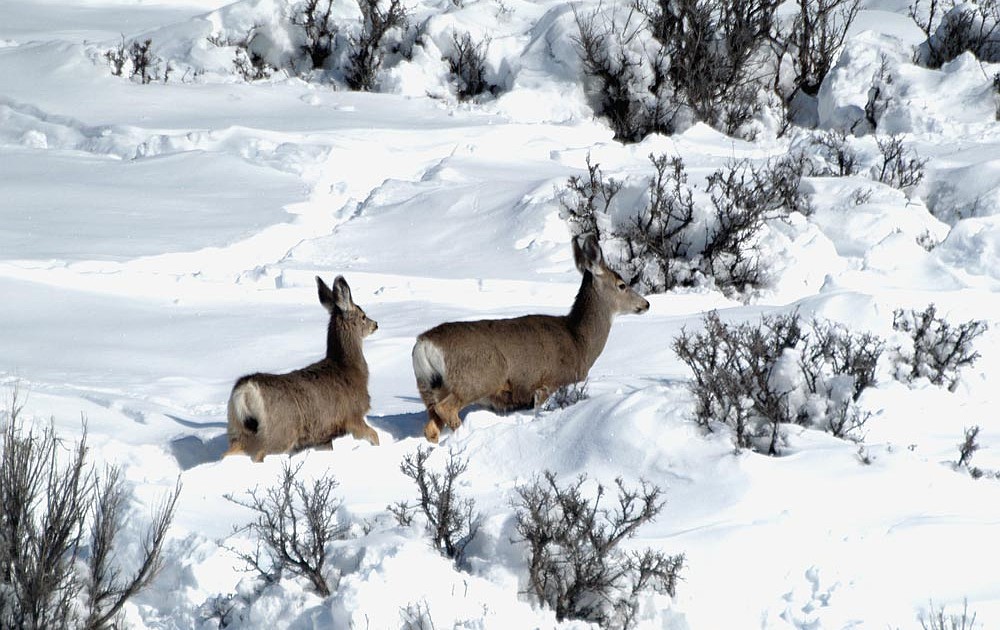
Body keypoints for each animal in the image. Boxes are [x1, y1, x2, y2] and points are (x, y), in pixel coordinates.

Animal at [224, 275, 380, 462]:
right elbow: (374, 435)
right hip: (278, 434)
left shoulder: (323, 435)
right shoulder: (352, 416)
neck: (349, 368)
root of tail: (246, 389)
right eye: (363, 316)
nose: (376, 324)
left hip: (237, 430)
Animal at [411, 234, 650, 443]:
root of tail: (424, 344)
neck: (579, 342)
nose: (646, 304)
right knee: (446, 409)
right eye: (622, 285)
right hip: (476, 378)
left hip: (427, 387)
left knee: (430, 427)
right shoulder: (550, 382)